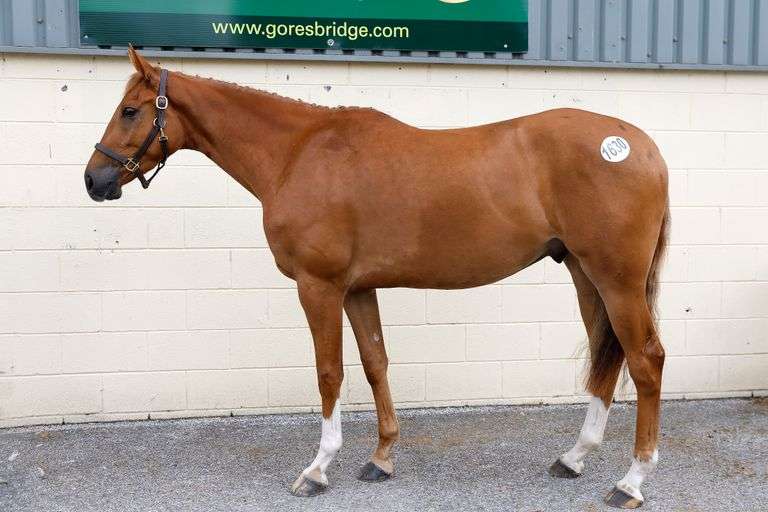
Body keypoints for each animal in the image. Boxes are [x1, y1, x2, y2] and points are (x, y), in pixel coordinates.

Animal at [84, 48, 669, 509]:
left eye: (130, 110)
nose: (94, 180)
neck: (297, 153)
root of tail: (642, 147)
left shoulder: (318, 286)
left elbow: (329, 373)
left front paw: (318, 469)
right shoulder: (359, 289)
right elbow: (374, 364)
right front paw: (382, 457)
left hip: (617, 280)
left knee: (645, 360)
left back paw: (631, 482)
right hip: (585, 274)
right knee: (607, 356)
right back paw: (574, 458)